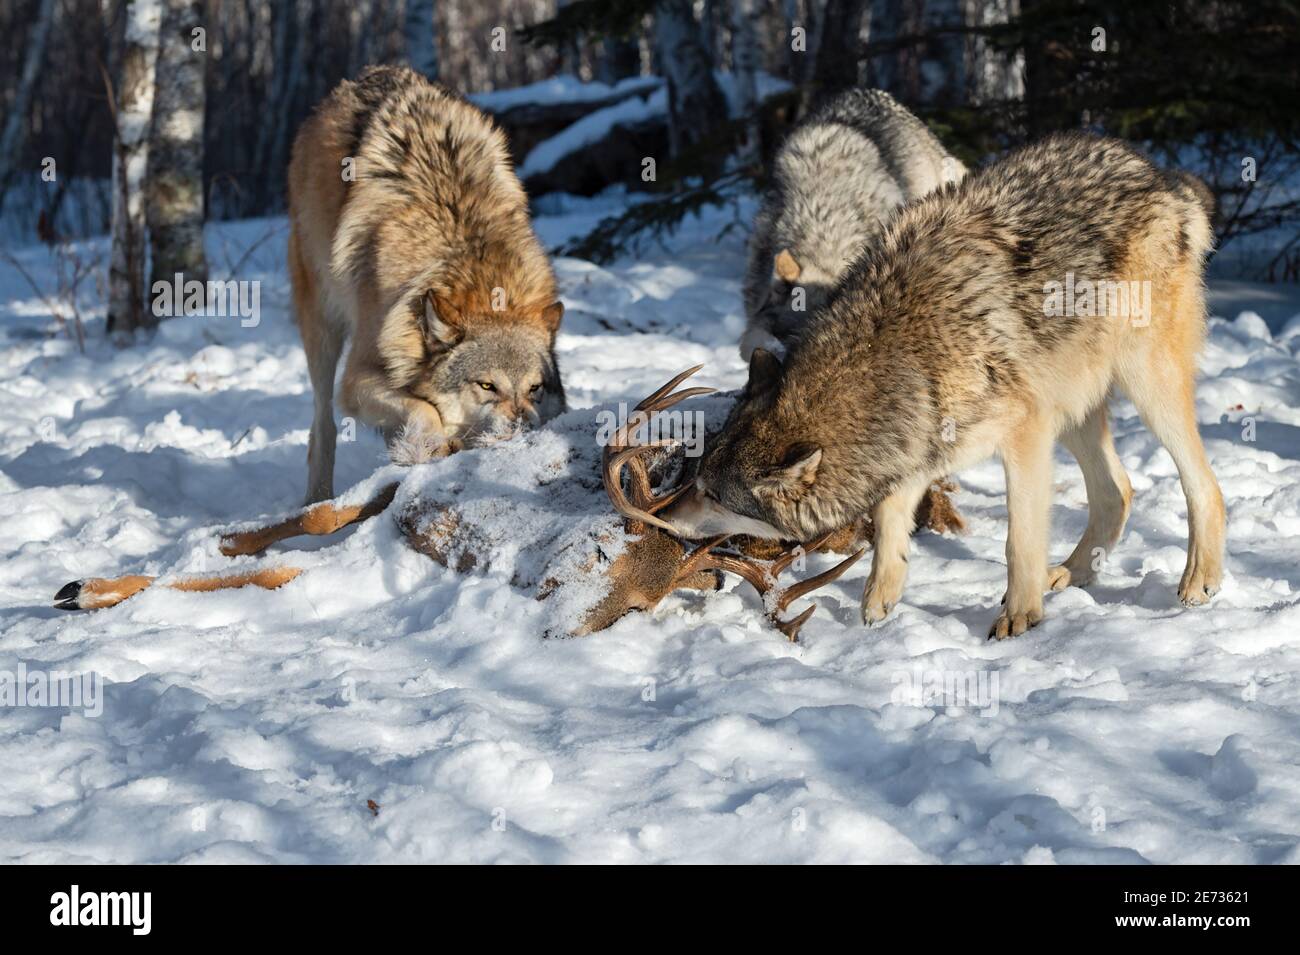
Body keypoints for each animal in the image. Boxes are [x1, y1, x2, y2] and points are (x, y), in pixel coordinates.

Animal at [288, 66, 566, 502]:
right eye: (487, 386)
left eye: (535, 388)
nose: (523, 429)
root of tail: (373, 73)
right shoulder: (358, 378)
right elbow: (425, 407)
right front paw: (428, 443)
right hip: (321, 326)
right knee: (322, 423)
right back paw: (318, 497)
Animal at [667, 132, 1225, 638]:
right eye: (697, 482)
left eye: (713, 496)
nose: (665, 521)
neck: (902, 354)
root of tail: (1160, 177)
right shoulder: (919, 444)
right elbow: (889, 521)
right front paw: (878, 603)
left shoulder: (1024, 437)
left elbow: (1018, 541)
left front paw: (1021, 616)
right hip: (1071, 404)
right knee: (1118, 491)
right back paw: (1071, 574)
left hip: (1144, 382)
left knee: (1204, 485)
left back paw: (1199, 579)